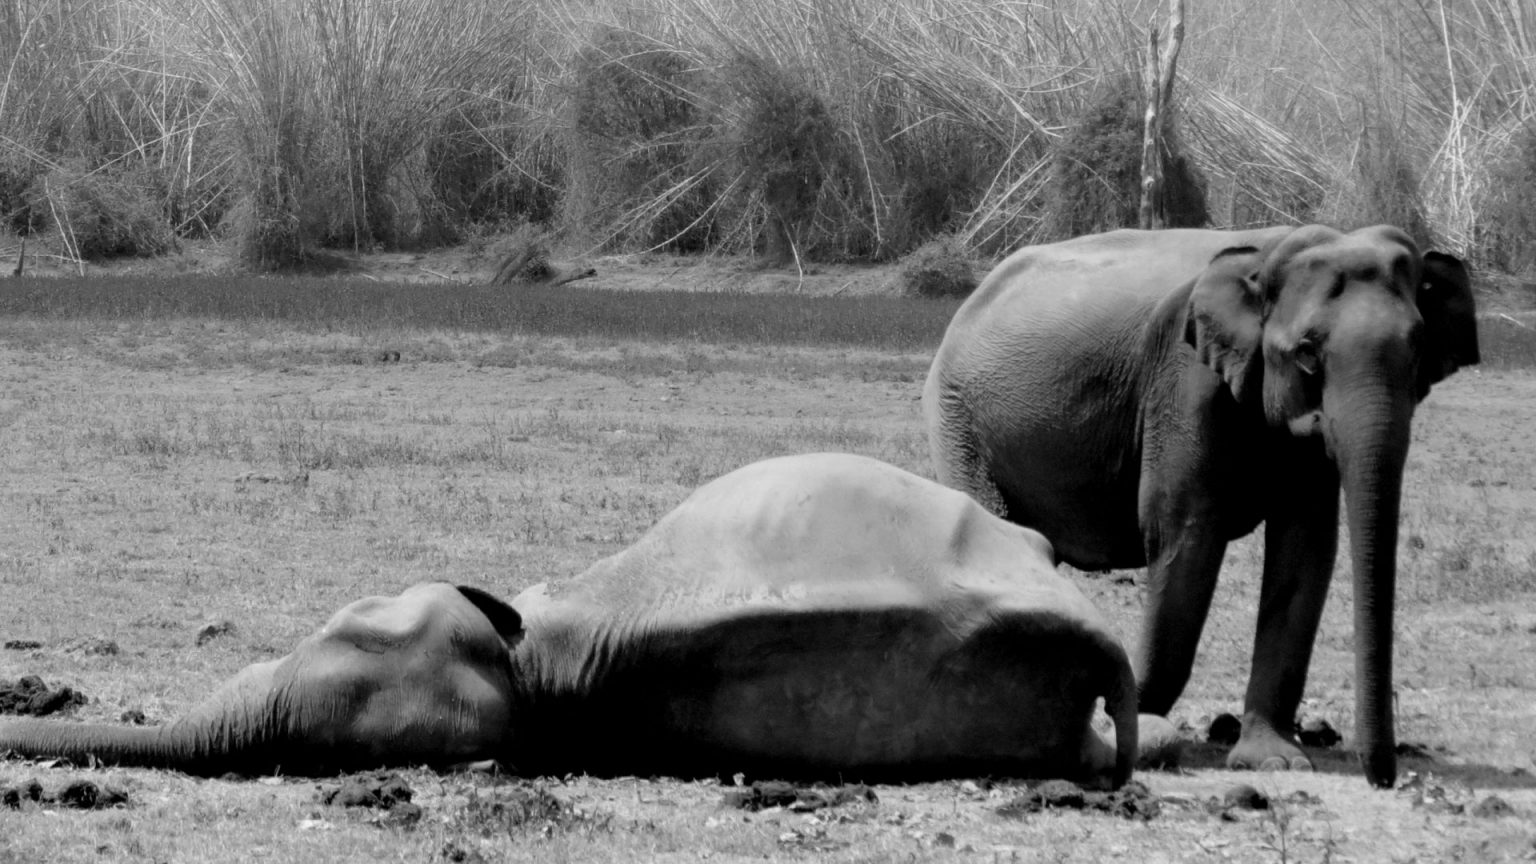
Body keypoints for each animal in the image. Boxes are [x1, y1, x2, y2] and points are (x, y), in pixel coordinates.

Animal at [923, 225, 1480, 788]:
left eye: (1418, 350)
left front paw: (1273, 760)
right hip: (958, 421)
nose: (1385, 778)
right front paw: (1132, 722)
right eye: (1307, 353)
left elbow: (1306, 547)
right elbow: (1184, 528)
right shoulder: (1184, 379)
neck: (1271, 254)